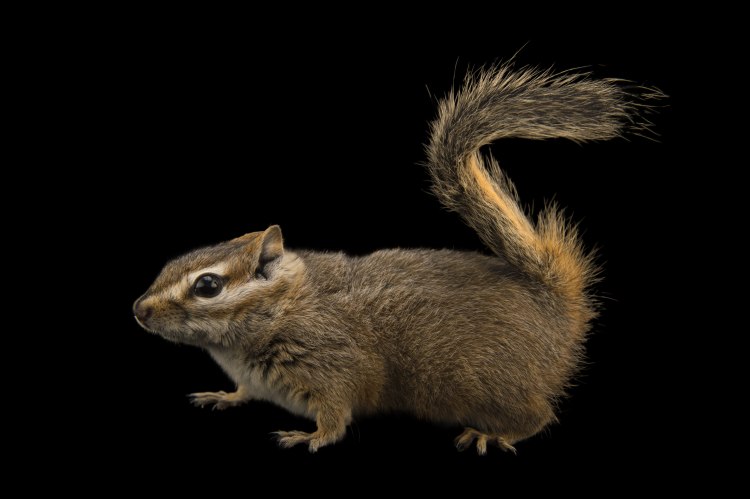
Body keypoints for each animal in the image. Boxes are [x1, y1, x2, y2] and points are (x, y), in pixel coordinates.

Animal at [134, 63, 655, 454]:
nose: (138, 310)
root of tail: (554, 296)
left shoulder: (335, 367)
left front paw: (310, 437)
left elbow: (336, 415)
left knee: (539, 415)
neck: (287, 306)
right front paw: (224, 395)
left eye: (207, 285)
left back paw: (493, 433)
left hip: (492, 384)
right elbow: (244, 391)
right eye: (174, 261)